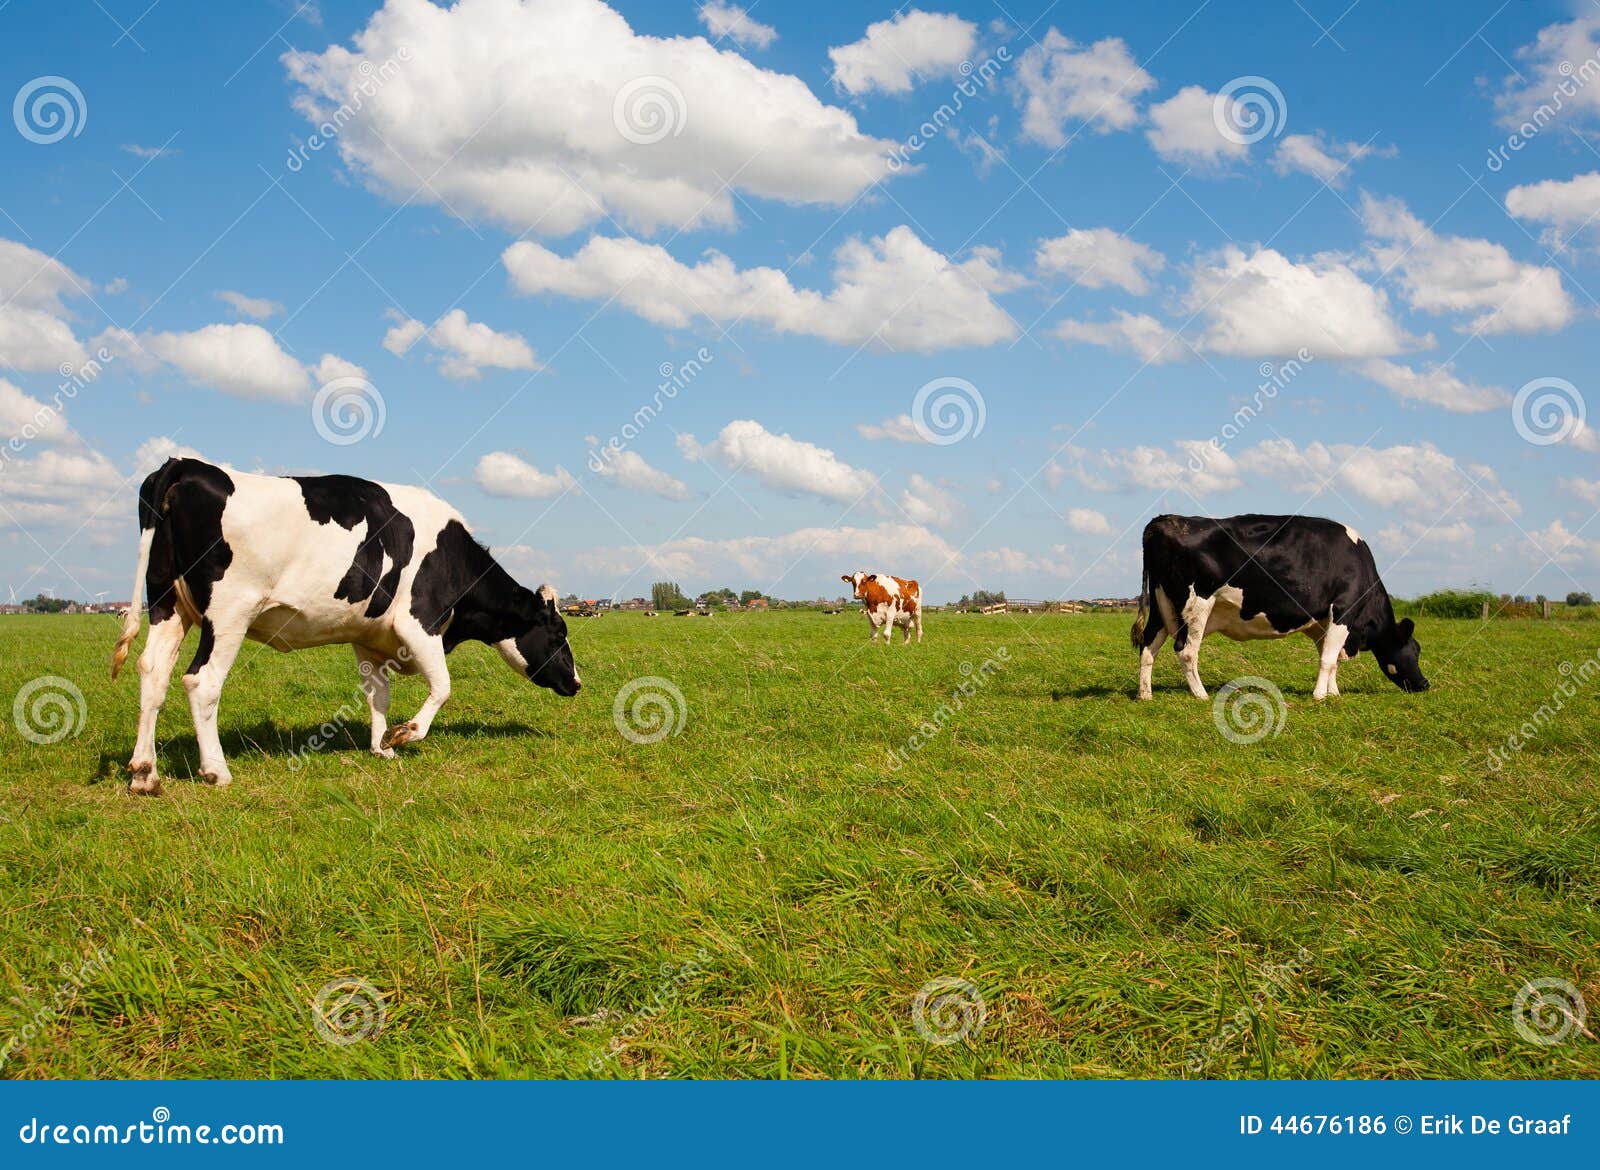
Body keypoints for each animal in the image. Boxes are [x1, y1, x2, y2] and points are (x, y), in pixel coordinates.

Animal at [110, 457, 581, 794]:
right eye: (559, 634)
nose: (577, 683)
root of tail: (187, 463)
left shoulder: (370, 640)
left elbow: (377, 696)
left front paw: (380, 747)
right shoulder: (419, 624)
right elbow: (443, 687)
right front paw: (404, 734)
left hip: (168, 604)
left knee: (153, 672)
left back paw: (144, 772)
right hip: (229, 613)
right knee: (201, 681)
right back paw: (216, 771)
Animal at [1131, 513, 1428, 701]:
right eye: (1414, 650)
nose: (1425, 684)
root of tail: (1165, 520)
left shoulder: (1323, 621)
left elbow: (1330, 658)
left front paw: (1333, 692)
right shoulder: (1344, 609)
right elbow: (1328, 658)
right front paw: (1320, 696)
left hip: (1160, 605)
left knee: (1148, 647)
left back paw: (1145, 695)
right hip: (1196, 604)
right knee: (1186, 651)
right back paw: (1201, 695)